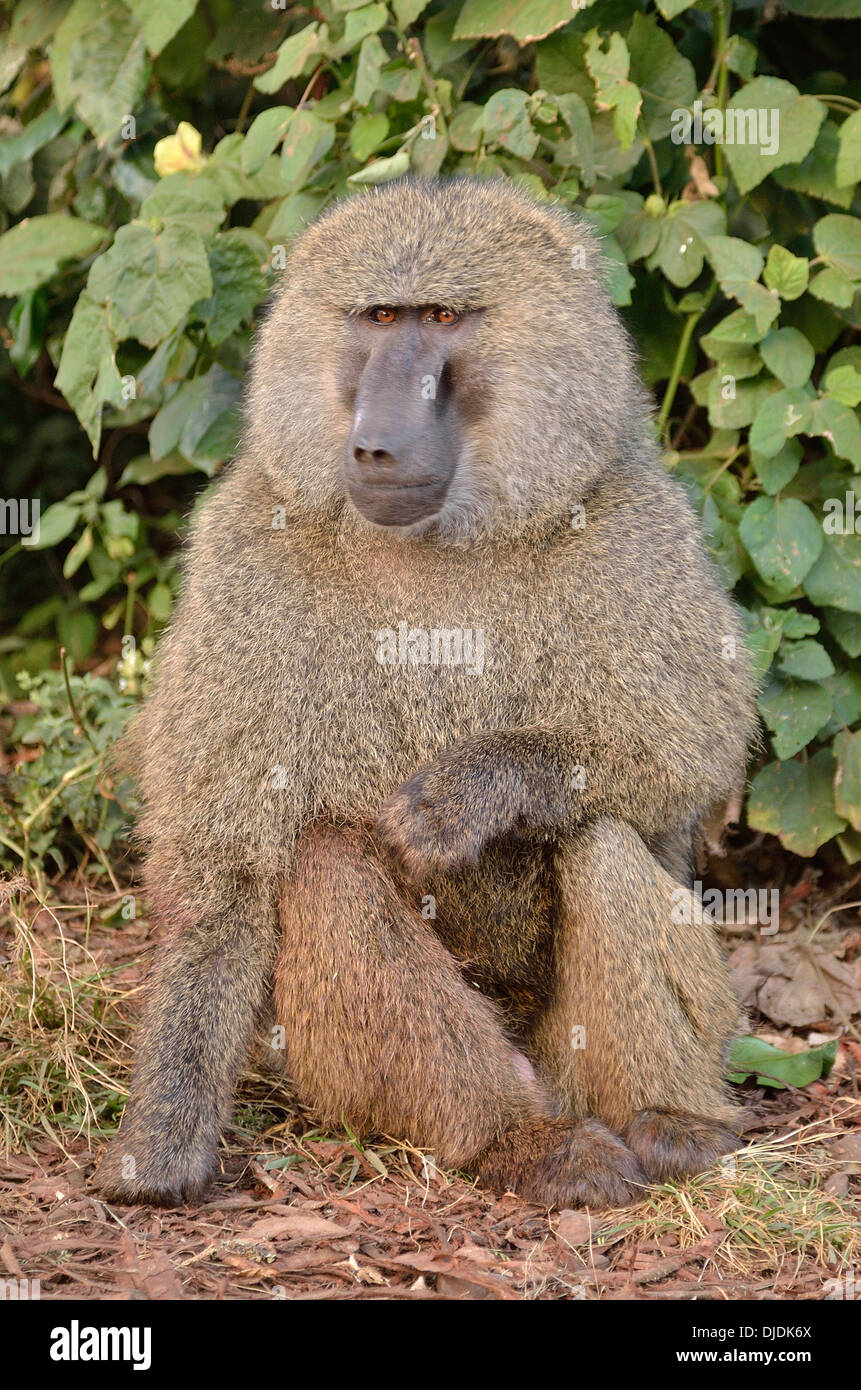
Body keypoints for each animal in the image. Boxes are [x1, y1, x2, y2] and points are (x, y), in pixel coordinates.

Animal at [96, 176, 758, 1210]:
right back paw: (520, 1139)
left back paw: (669, 1125)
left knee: (600, 839)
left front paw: (472, 790)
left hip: (617, 1040)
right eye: (378, 317)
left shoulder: (630, 518)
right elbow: (227, 867)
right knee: (324, 861)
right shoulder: (244, 549)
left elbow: (688, 746)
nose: (375, 444)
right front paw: (163, 1134)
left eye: (442, 318)